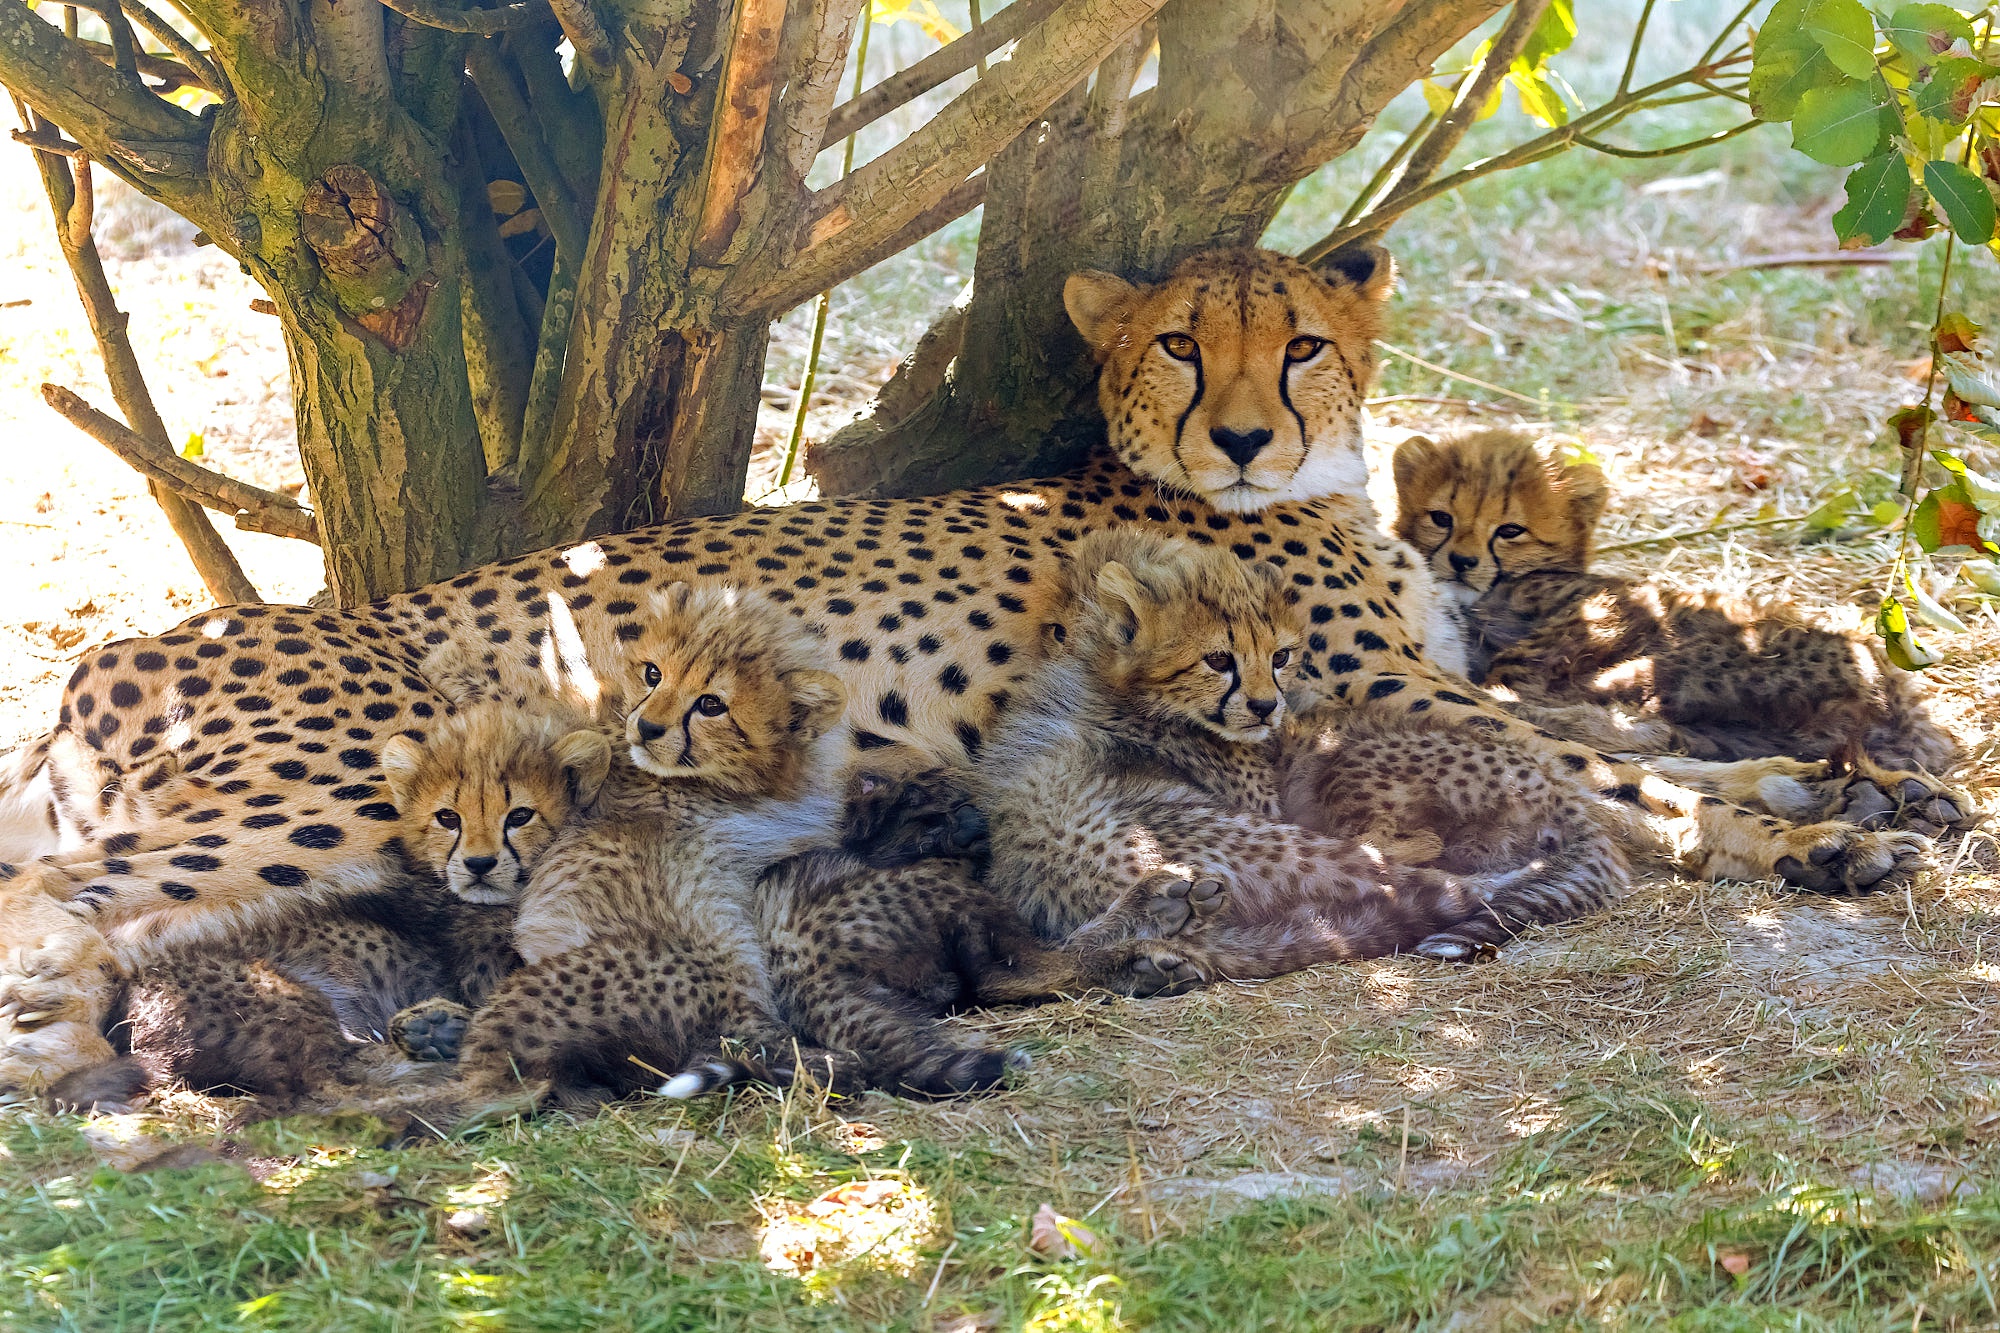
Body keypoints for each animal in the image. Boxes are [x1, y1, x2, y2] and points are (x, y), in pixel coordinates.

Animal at [40, 703, 609, 1116]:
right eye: (449, 818)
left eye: (520, 816)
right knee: (333, 1084)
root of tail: (125, 1012)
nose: (480, 864)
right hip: (284, 995)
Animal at [1392, 427, 1976, 848]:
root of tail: (1904, 707)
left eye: (1509, 530)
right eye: (1441, 517)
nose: (1461, 561)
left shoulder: (1581, 630)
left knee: (1638, 729)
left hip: (1668, 671)